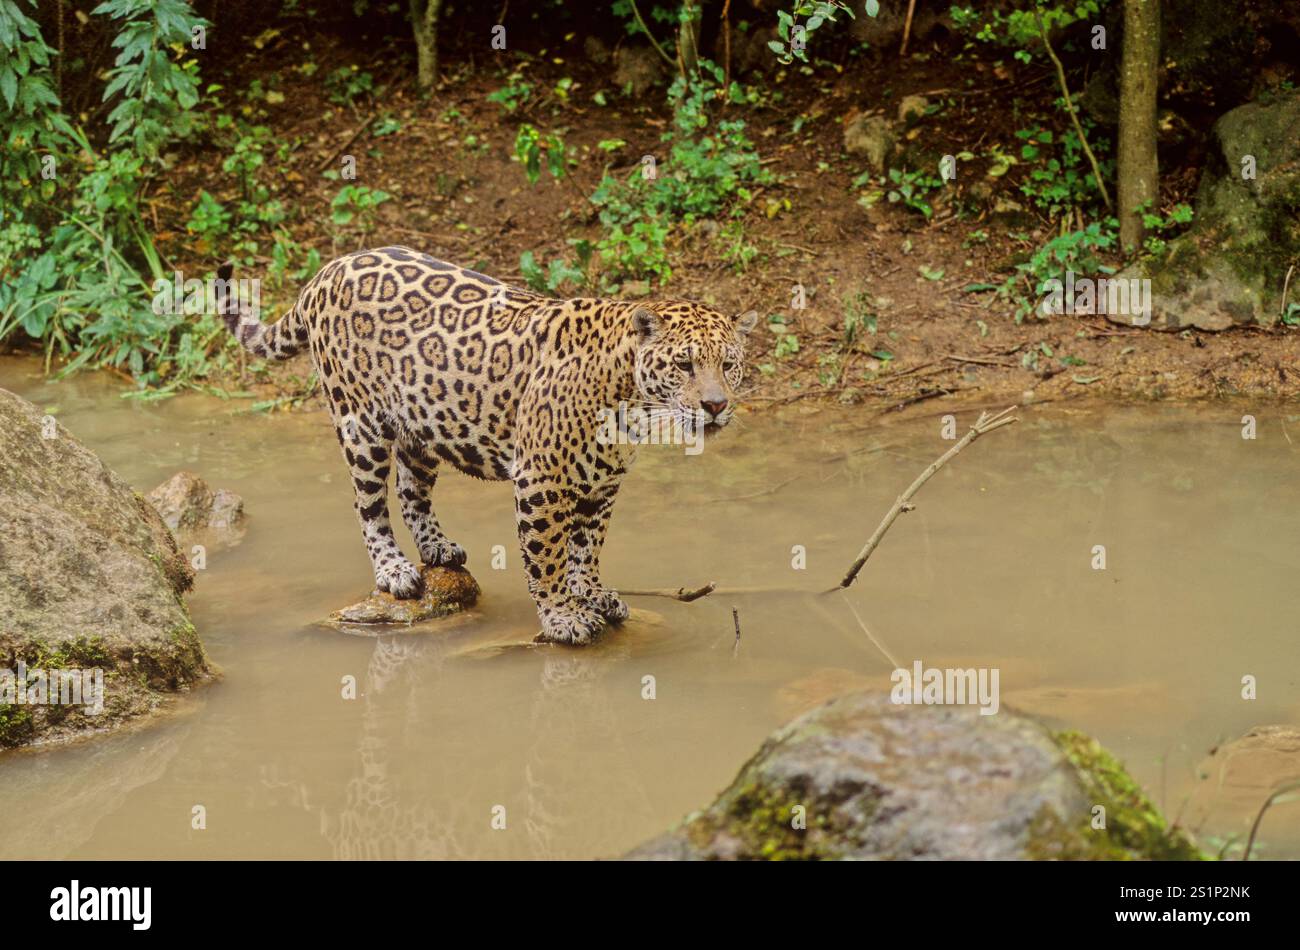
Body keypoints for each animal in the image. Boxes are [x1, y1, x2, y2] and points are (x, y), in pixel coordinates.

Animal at [216, 246, 757, 644]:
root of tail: (328, 269)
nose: (715, 405)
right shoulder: (543, 479)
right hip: (361, 423)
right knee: (368, 504)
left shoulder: (602, 484)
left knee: (412, 493)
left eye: (729, 365)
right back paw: (394, 571)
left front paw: (593, 594)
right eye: (684, 365)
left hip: (422, 421)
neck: (630, 400)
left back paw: (437, 549)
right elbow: (548, 555)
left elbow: (587, 547)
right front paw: (563, 616)